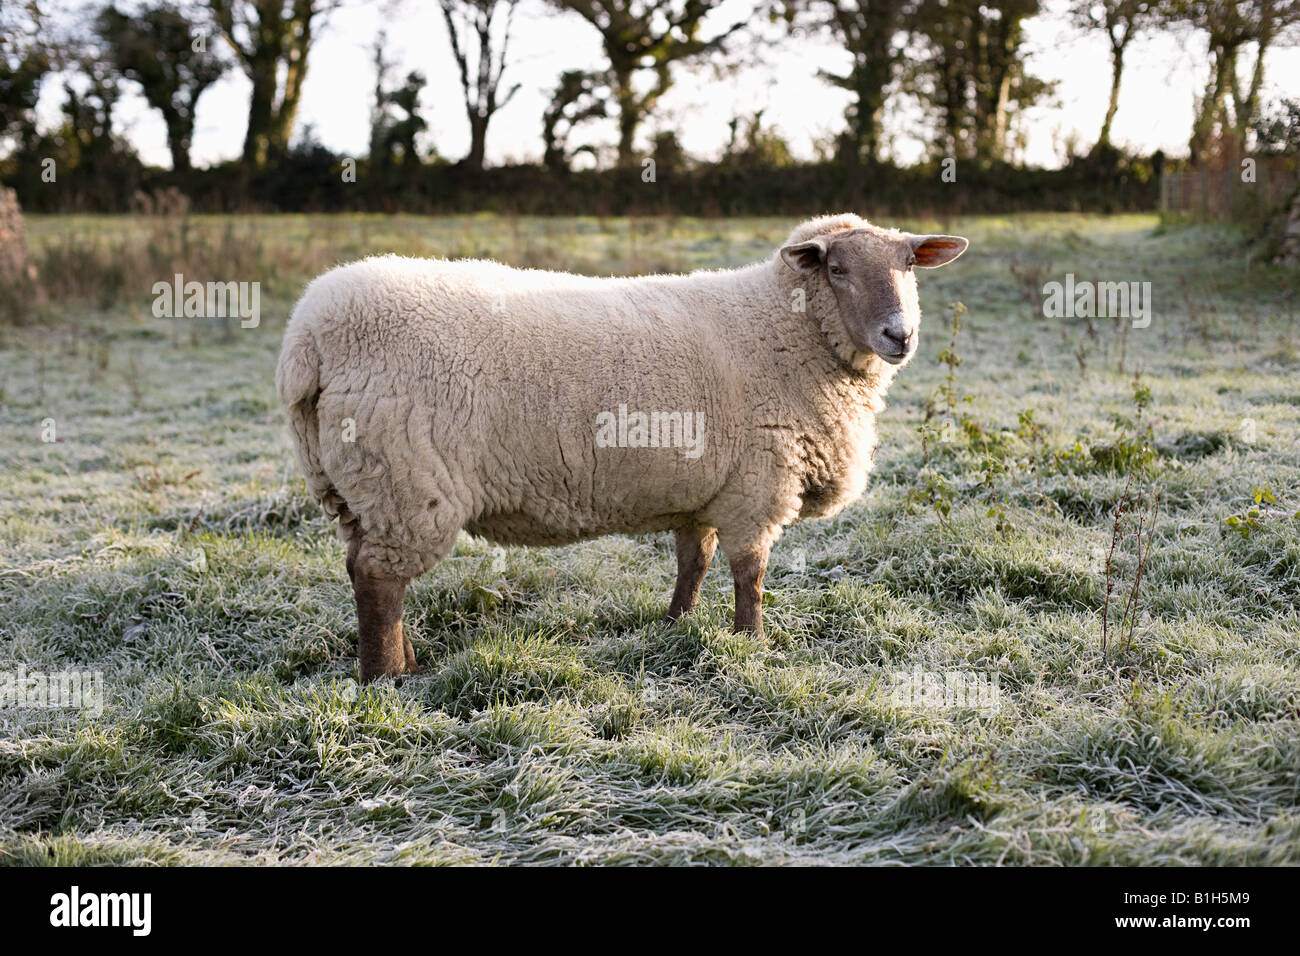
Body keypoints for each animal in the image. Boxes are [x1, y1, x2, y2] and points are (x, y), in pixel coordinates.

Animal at [276, 214, 969, 682]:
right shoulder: (757, 485)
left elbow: (695, 562)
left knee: (365, 570)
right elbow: (750, 574)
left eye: (909, 265)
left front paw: (677, 625)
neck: (784, 329)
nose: (900, 335)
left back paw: (407, 660)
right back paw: (385, 679)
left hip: (357, 486)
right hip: (406, 481)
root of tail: (308, 336)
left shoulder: (706, 487)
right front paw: (751, 643)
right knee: (378, 580)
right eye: (837, 269)